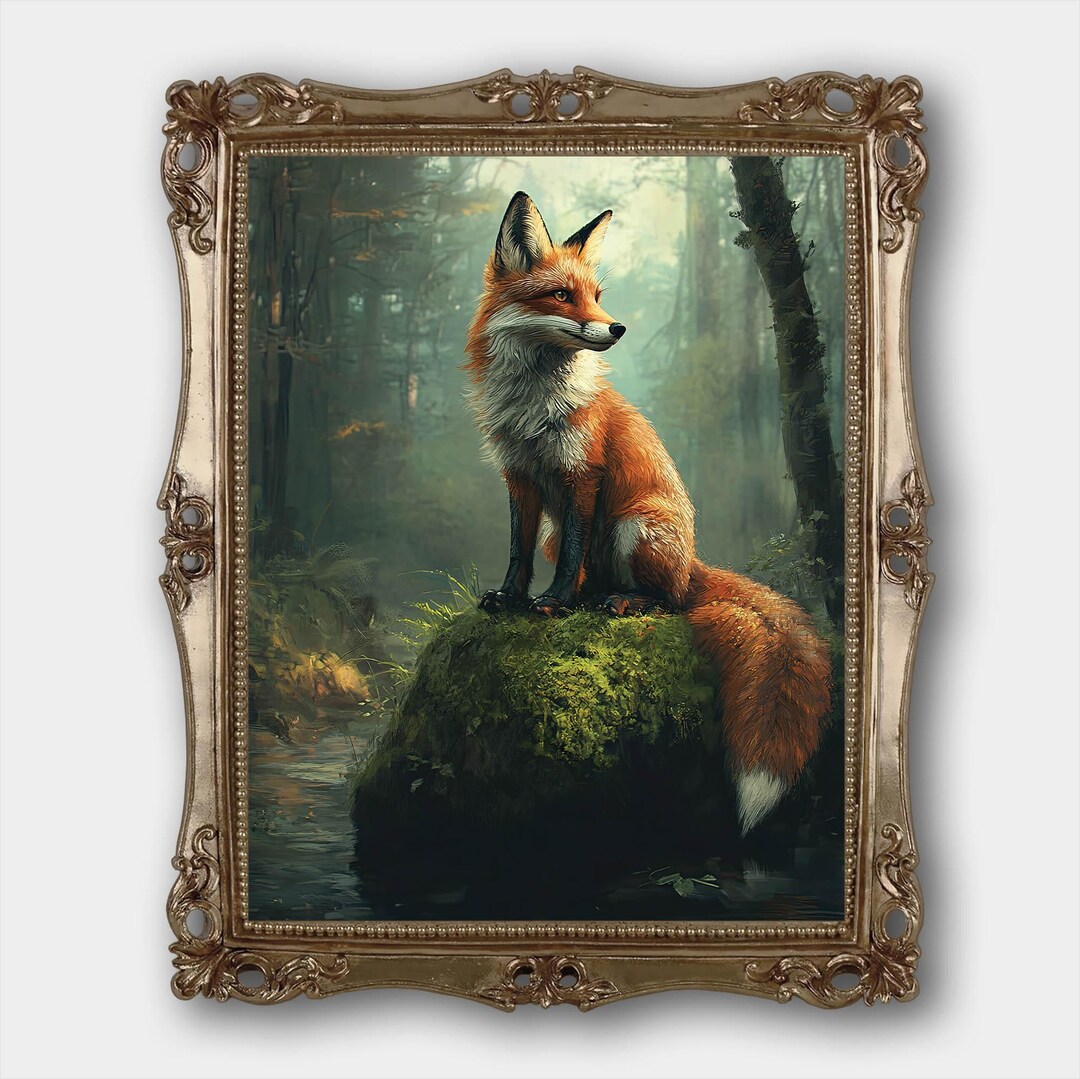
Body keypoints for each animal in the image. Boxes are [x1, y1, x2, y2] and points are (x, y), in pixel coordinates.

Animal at [464, 191, 833, 835]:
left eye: (597, 295)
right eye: (562, 295)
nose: (616, 328)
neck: (534, 407)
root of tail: (693, 564)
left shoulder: (580, 472)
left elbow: (571, 555)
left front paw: (552, 603)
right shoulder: (520, 476)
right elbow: (516, 549)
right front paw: (511, 597)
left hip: (635, 528)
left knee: (668, 602)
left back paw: (621, 601)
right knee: (604, 576)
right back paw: (597, 595)